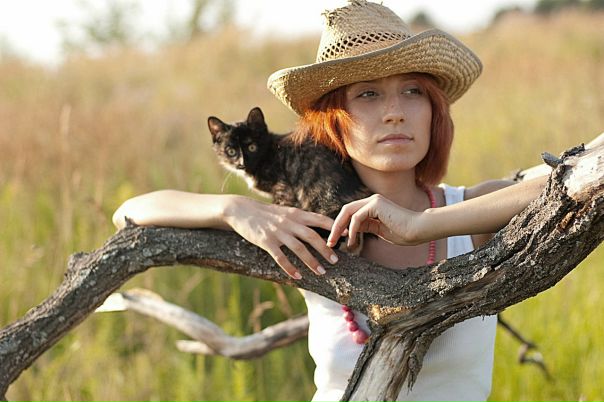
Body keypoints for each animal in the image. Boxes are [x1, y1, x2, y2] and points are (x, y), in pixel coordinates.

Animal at [207, 106, 371, 222]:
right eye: (231, 151)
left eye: (252, 147)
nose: (242, 163)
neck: (268, 153)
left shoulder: (284, 189)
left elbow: (282, 207)